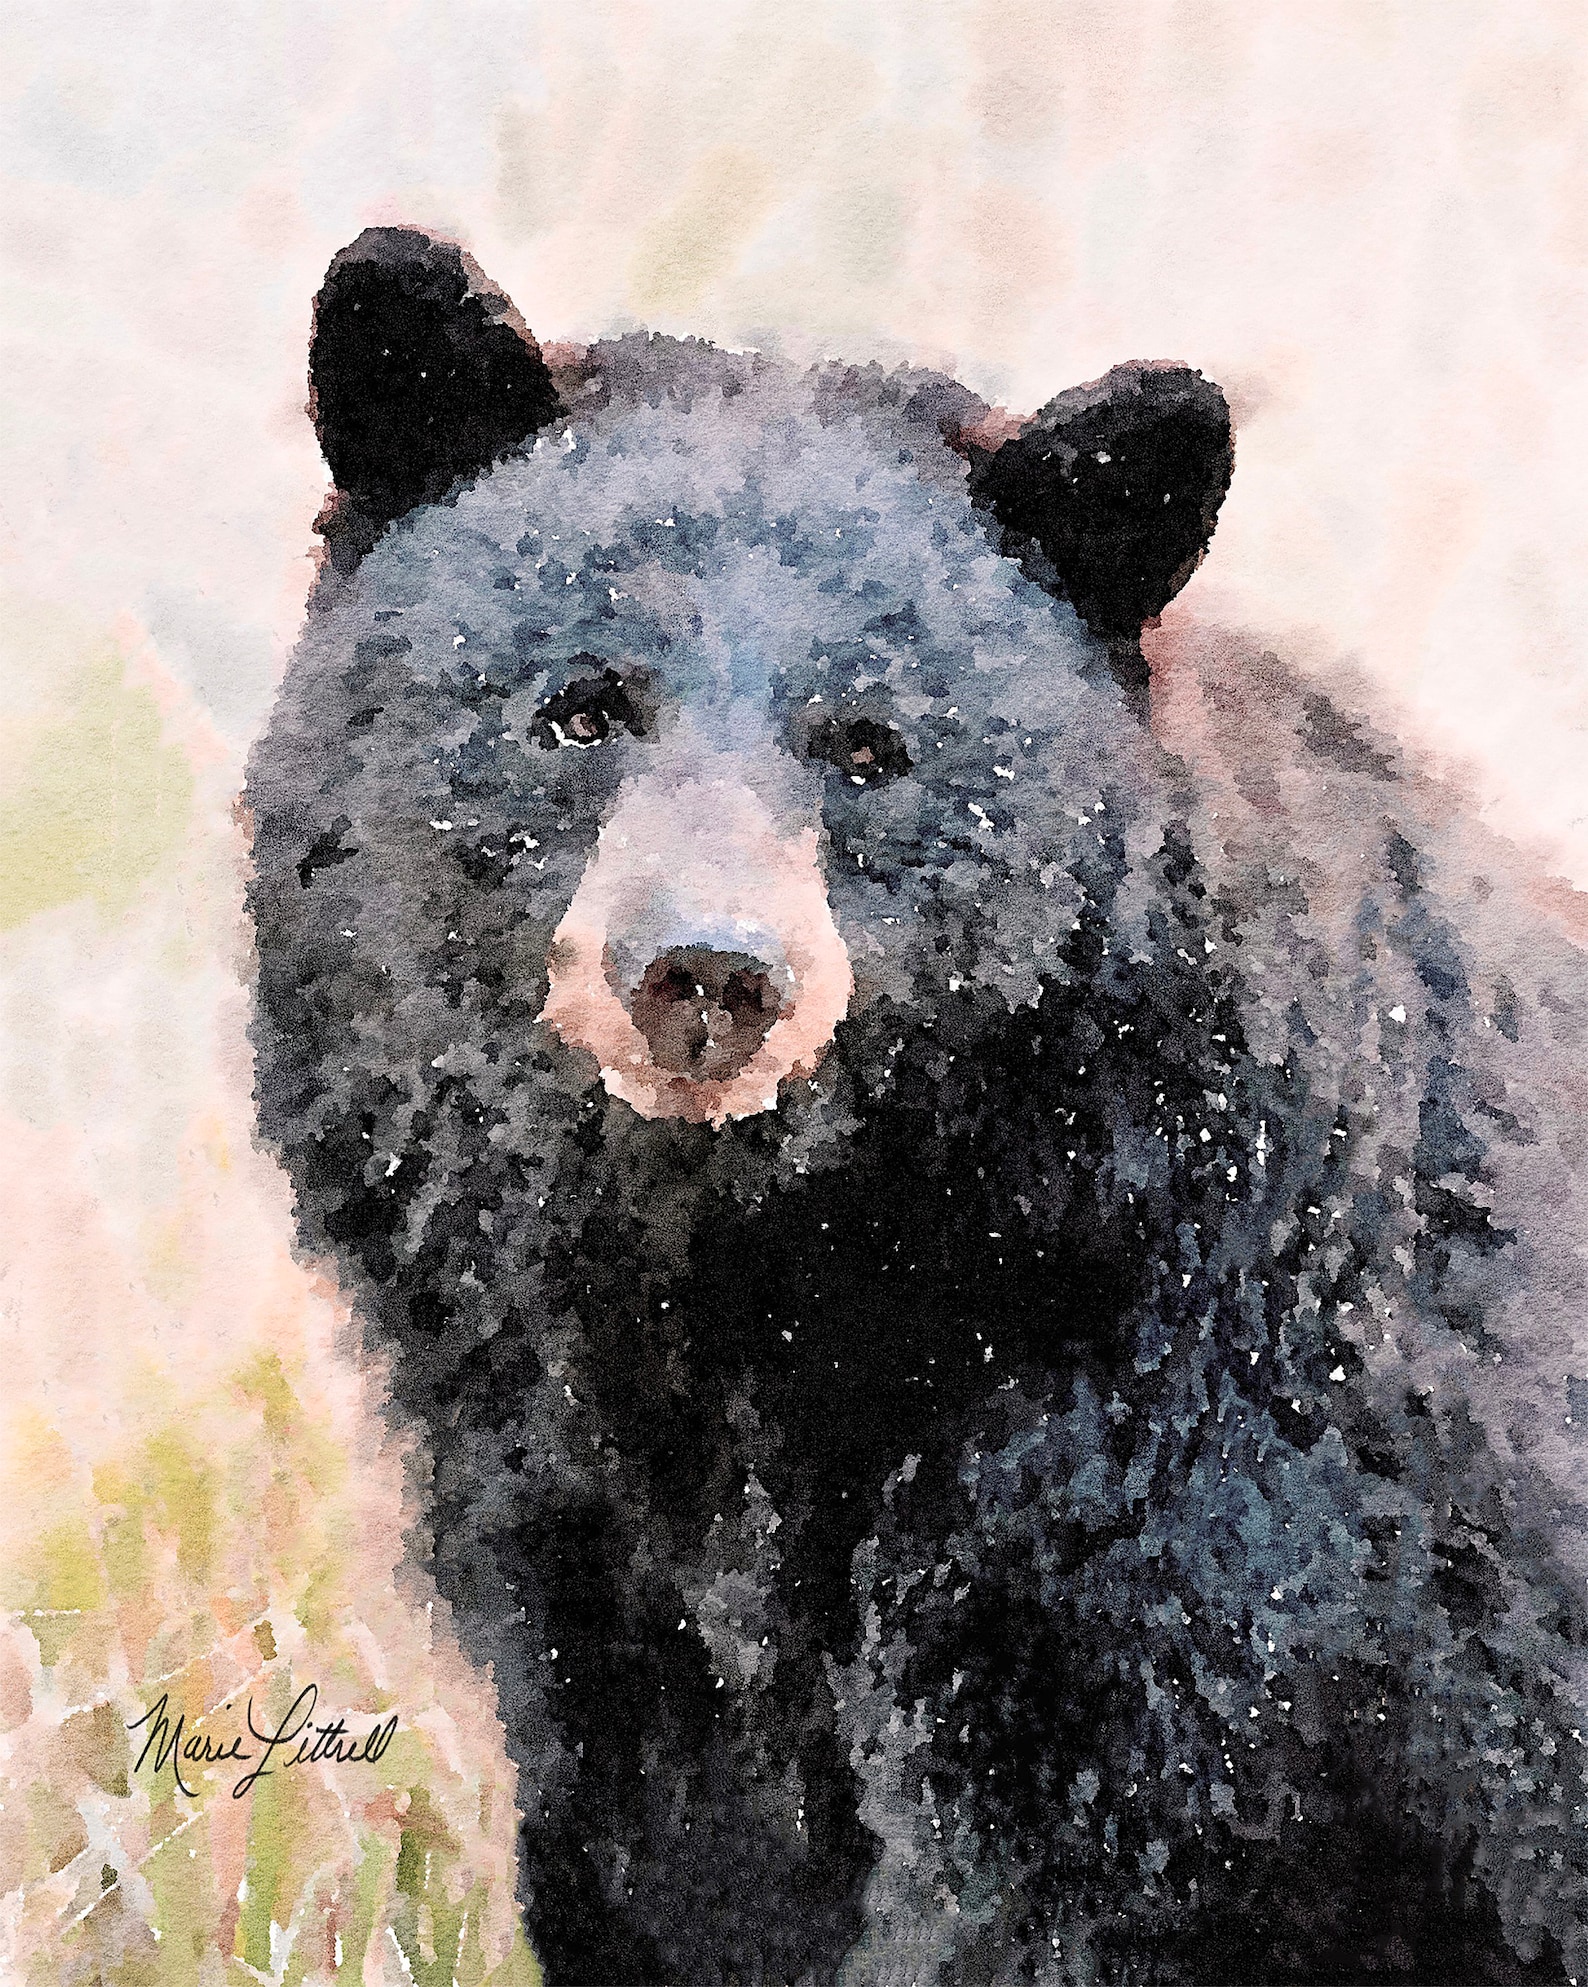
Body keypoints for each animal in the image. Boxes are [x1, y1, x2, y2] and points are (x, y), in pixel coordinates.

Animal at [246, 226, 1588, 1985]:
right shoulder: (607, 1591)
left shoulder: (1177, 1536)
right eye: (582, 706)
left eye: (874, 744)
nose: (707, 968)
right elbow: (683, 1874)